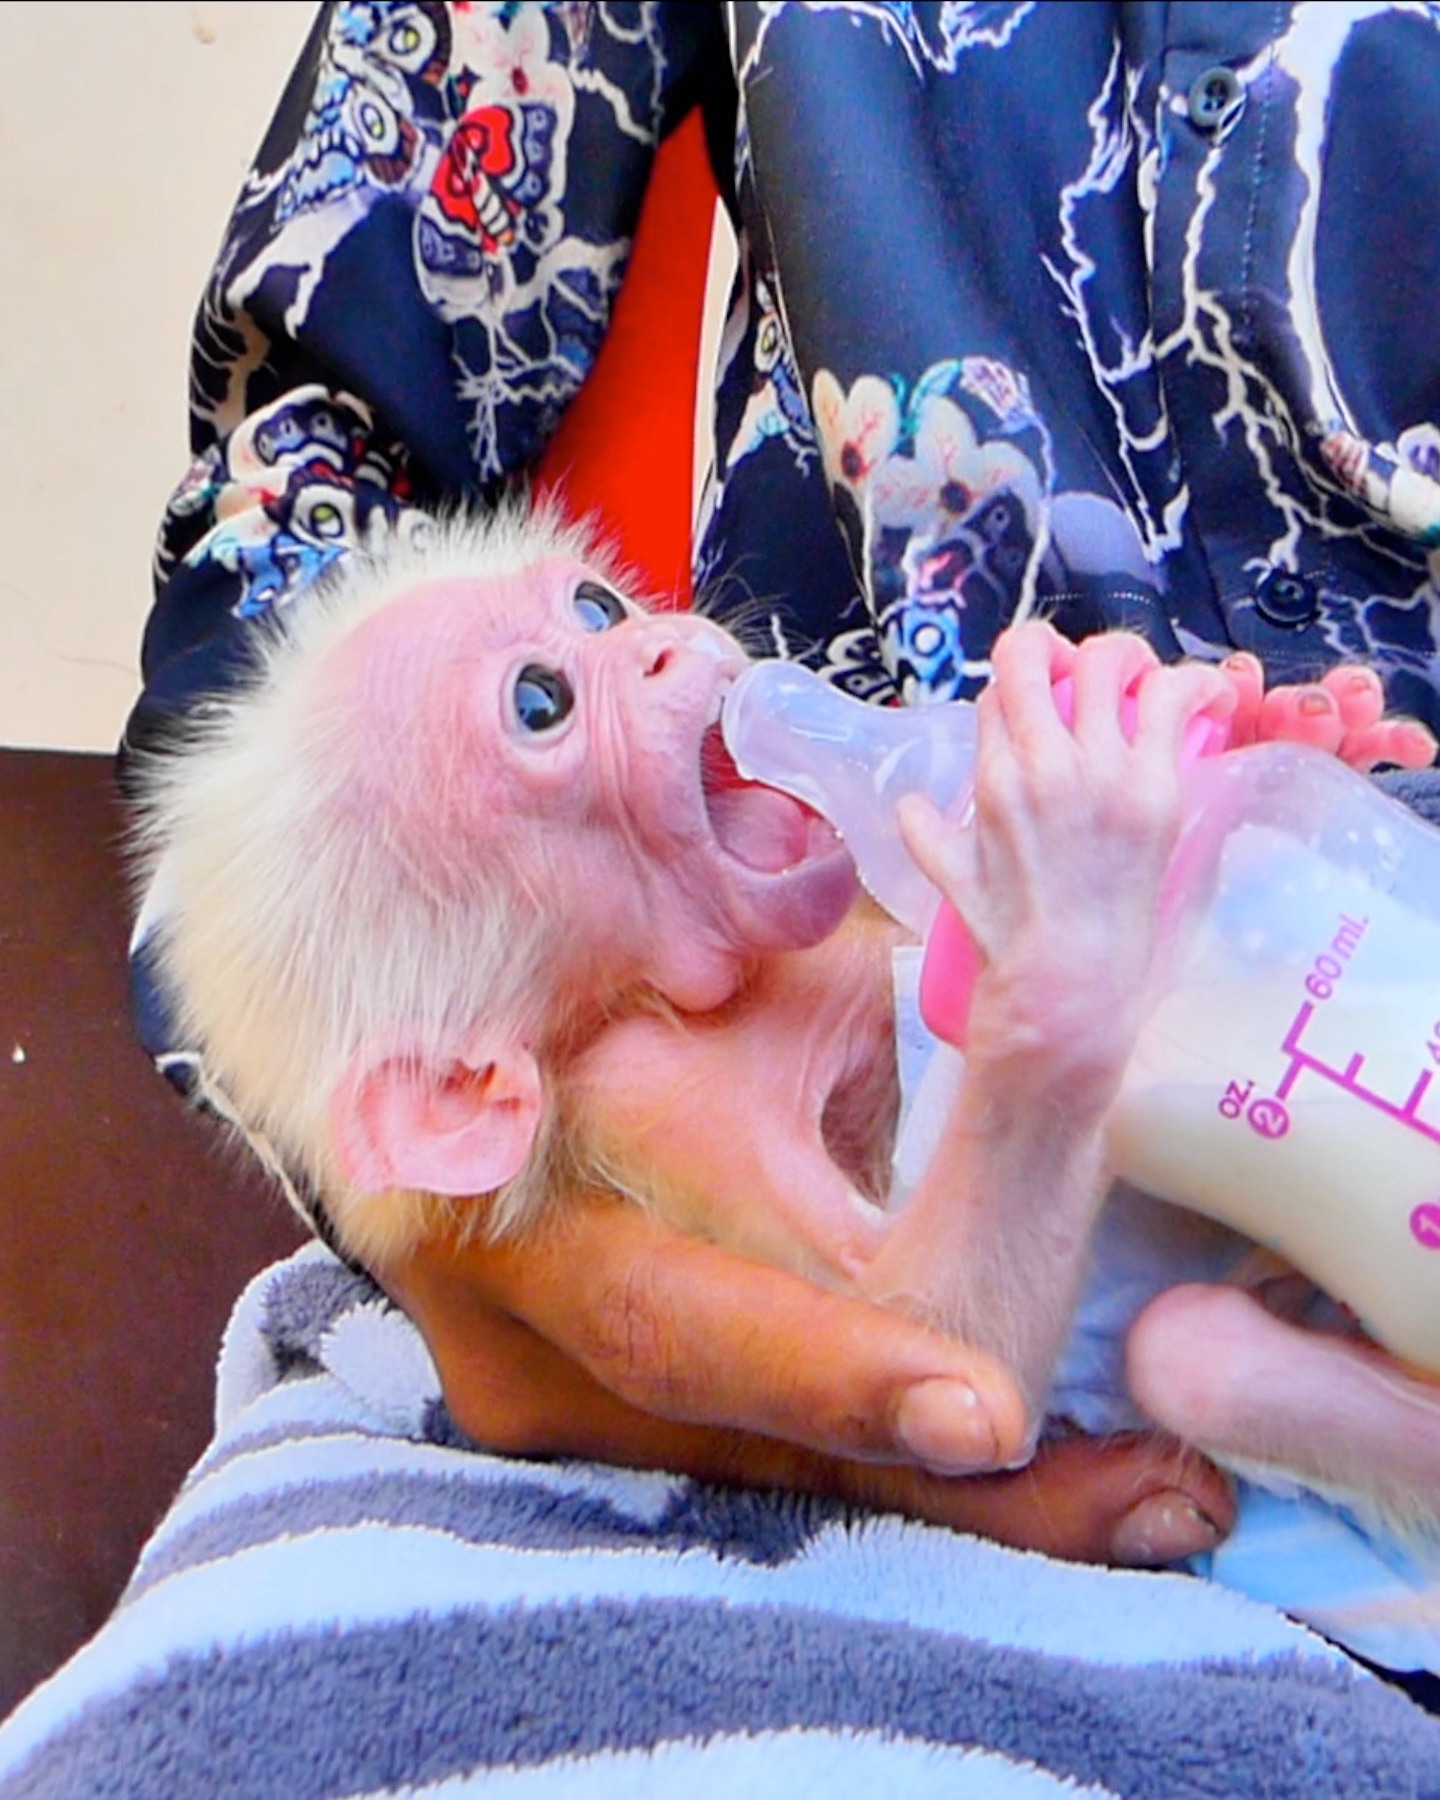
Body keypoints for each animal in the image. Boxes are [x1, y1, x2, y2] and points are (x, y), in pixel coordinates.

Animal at [131, 500, 1440, 1551]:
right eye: (541, 701)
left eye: (594, 605)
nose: (659, 644)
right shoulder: (644, 1098)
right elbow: (935, 1332)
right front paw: (1068, 887)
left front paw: (1285, 722)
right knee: (1187, 1350)